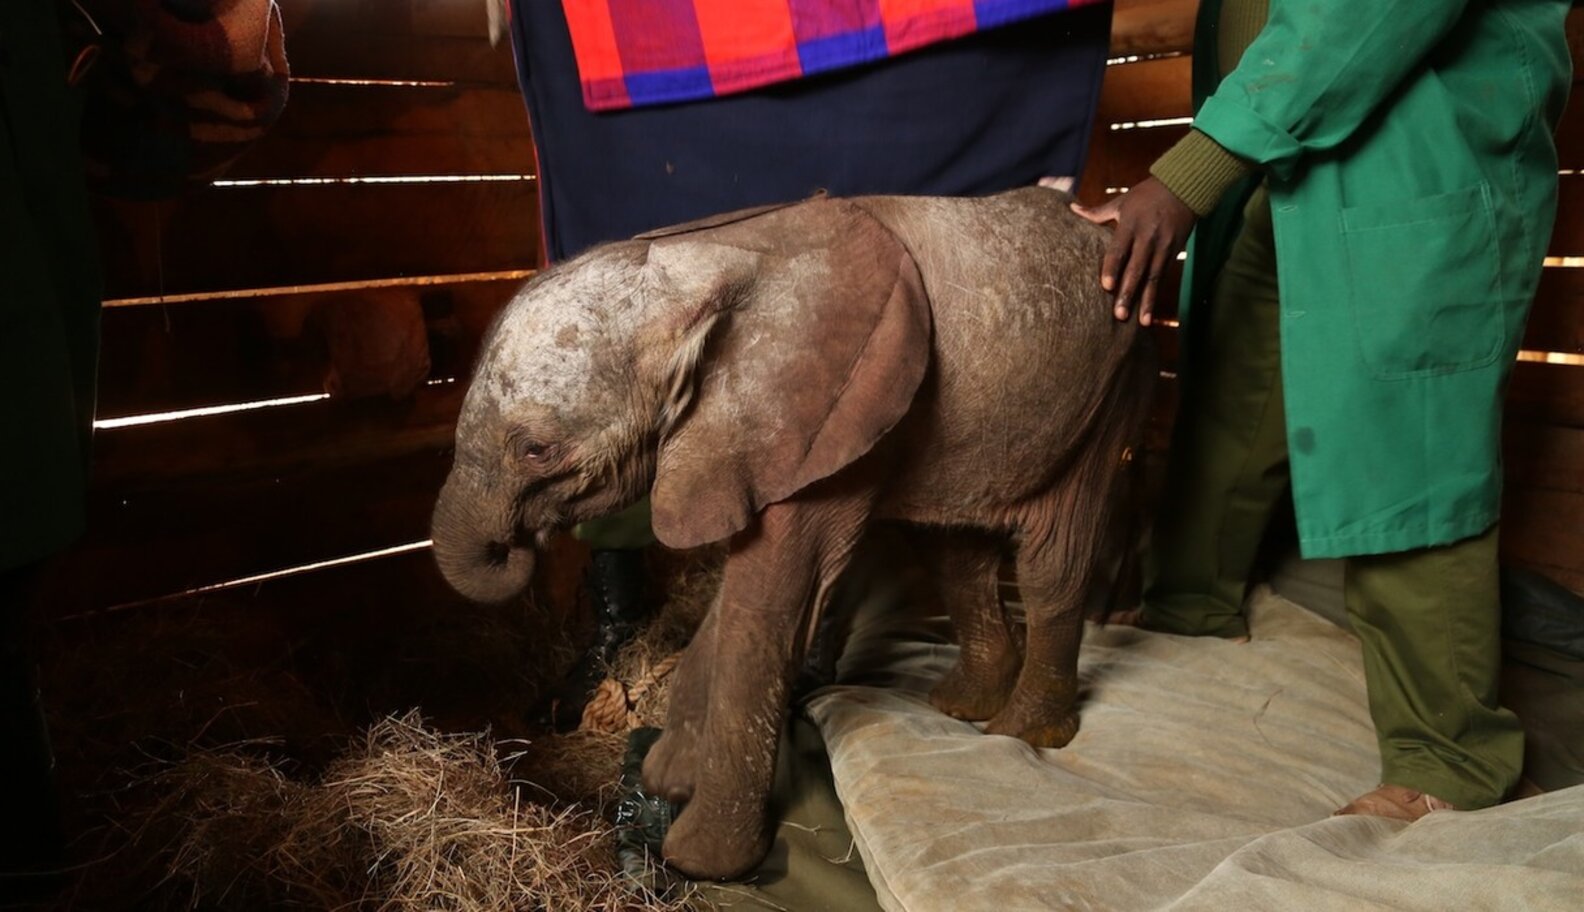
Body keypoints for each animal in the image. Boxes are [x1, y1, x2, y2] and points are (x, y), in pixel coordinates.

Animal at [430, 186, 1154, 880]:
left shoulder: (827, 417)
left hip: (1110, 382)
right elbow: (740, 596)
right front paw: (666, 777)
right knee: (959, 551)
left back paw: (1024, 733)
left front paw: (698, 857)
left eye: (537, 451)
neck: (696, 267)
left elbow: (770, 601)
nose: (519, 546)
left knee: (1051, 558)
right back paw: (960, 707)